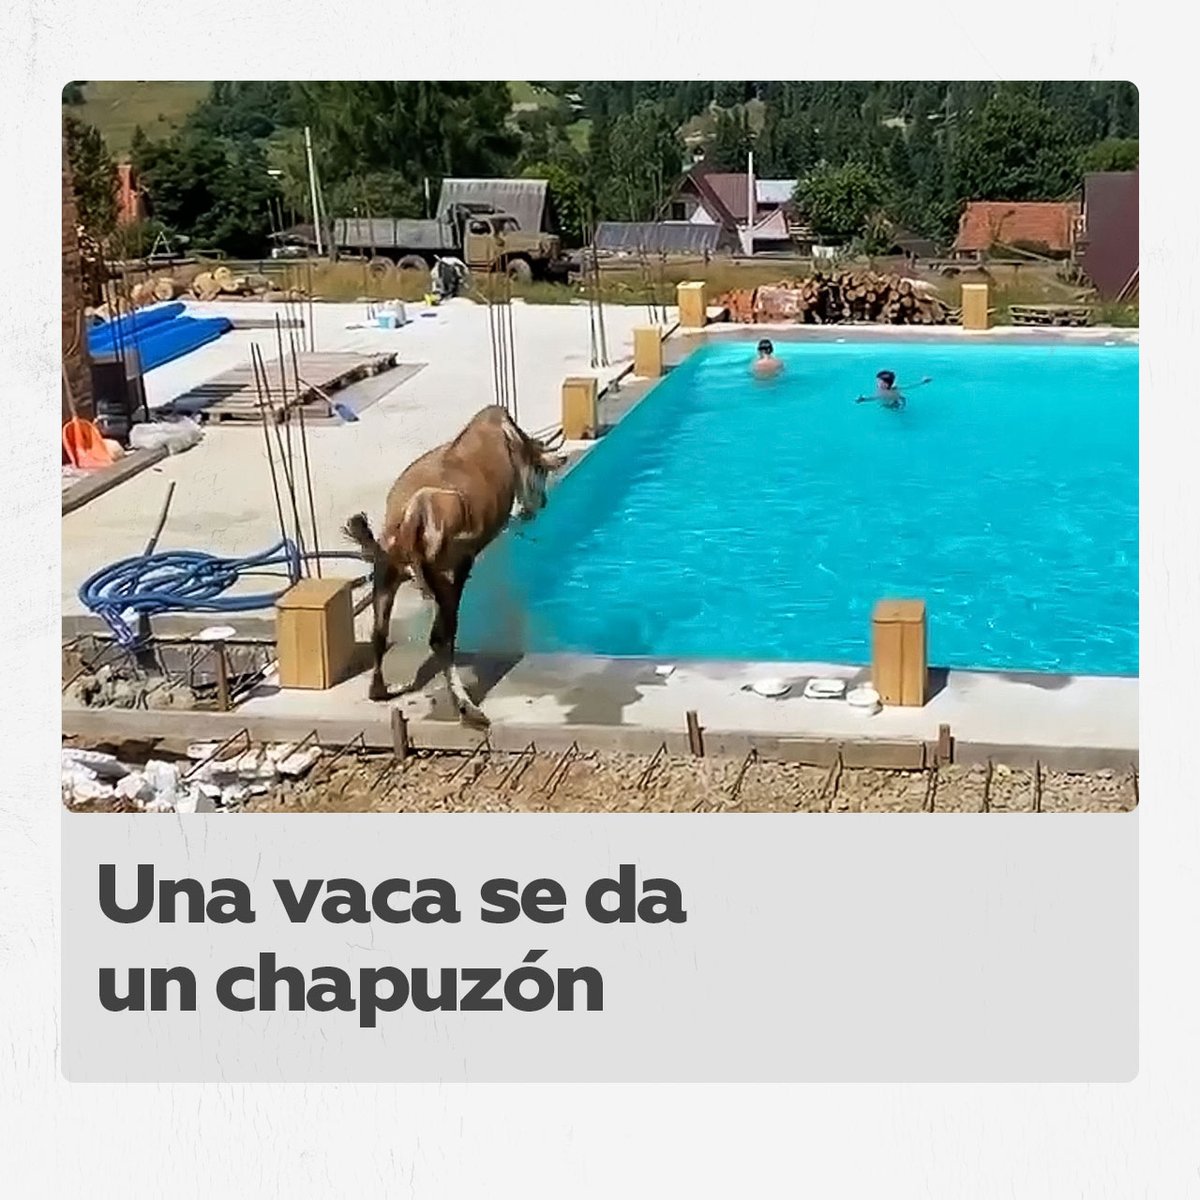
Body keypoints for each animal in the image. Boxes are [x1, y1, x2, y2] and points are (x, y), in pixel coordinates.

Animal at [344, 405, 566, 727]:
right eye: (541, 474)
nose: (542, 503)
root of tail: (411, 522)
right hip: (448, 578)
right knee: (441, 637)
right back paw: (468, 707)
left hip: (387, 575)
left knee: (379, 632)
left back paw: (381, 690)